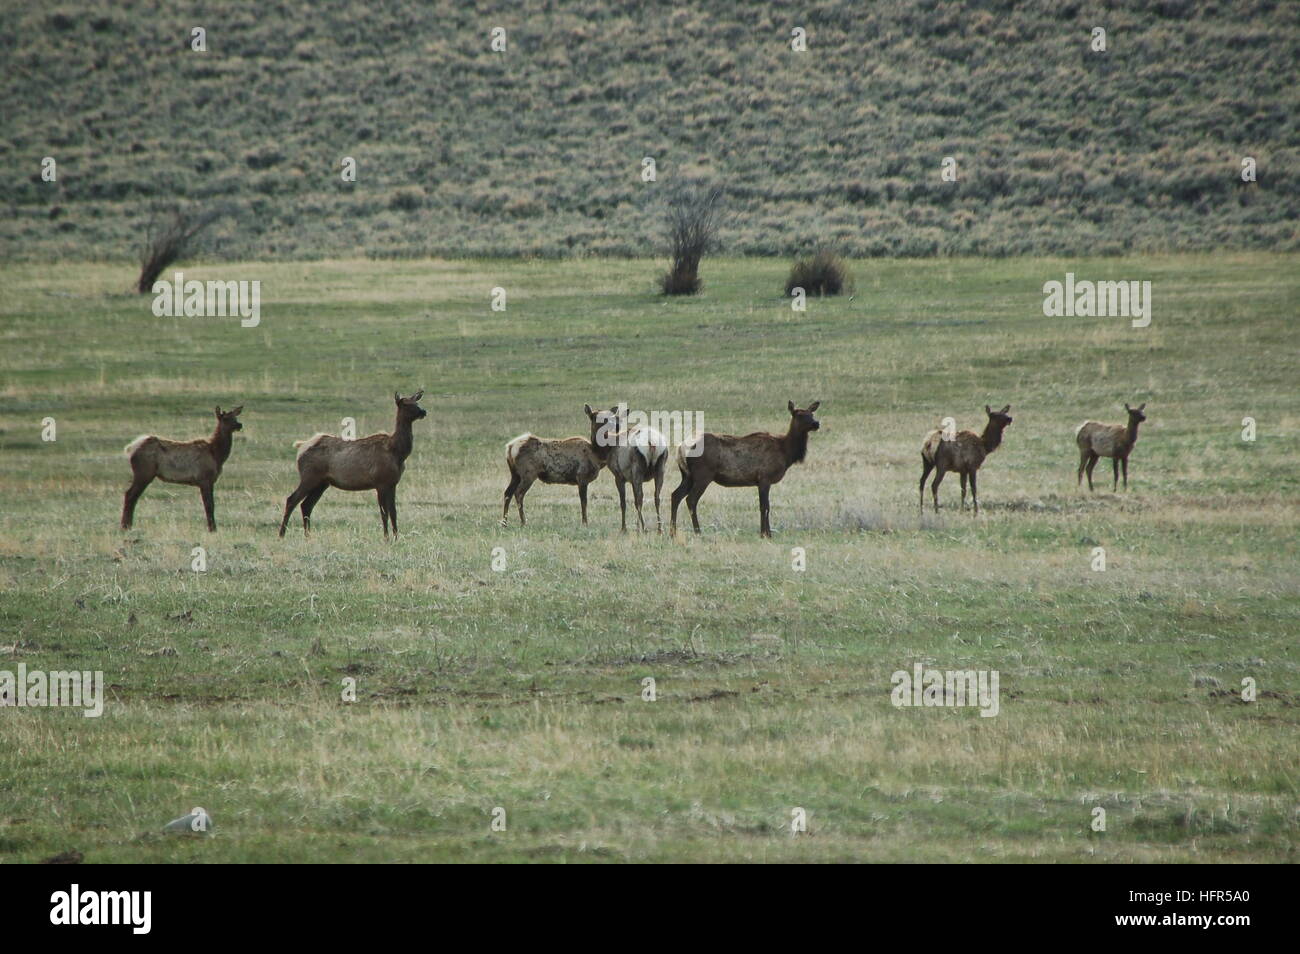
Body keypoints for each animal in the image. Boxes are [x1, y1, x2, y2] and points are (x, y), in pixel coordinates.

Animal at [279, 391, 426, 539]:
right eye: (406, 404)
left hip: (322, 483)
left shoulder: (392, 483)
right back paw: (282, 534)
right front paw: (386, 538)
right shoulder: (380, 482)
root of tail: (301, 448)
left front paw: (396, 537)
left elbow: (394, 513)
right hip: (309, 476)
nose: (423, 411)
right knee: (291, 500)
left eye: (416, 402)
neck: (398, 453)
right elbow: (384, 513)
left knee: (306, 505)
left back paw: (308, 536)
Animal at [592, 405, 670, 533]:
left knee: (640, 497)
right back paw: (660, 529)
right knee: (656, 497)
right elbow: (633, 500)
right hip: (660, 468)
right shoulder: (632, 479)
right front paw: (644, 527)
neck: (609, 448)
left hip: (638, 469)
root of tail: (651, 442)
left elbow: (623, 502)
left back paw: (638, 528)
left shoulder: (619, 476)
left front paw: (624, 528)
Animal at [670, 400, 821, 538]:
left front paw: (767, 533)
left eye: (812, 414)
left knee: (675, 495)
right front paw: (764, 534)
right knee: (691, 499)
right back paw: (698, 532)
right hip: (703, 474)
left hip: (687, 475)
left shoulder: (762, 481)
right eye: (799, 415)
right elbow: (764, 506)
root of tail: (680, 448)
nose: (816, 423)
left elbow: (766, 506)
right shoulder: (764, 477)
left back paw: (673, 533)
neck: (786, 453)